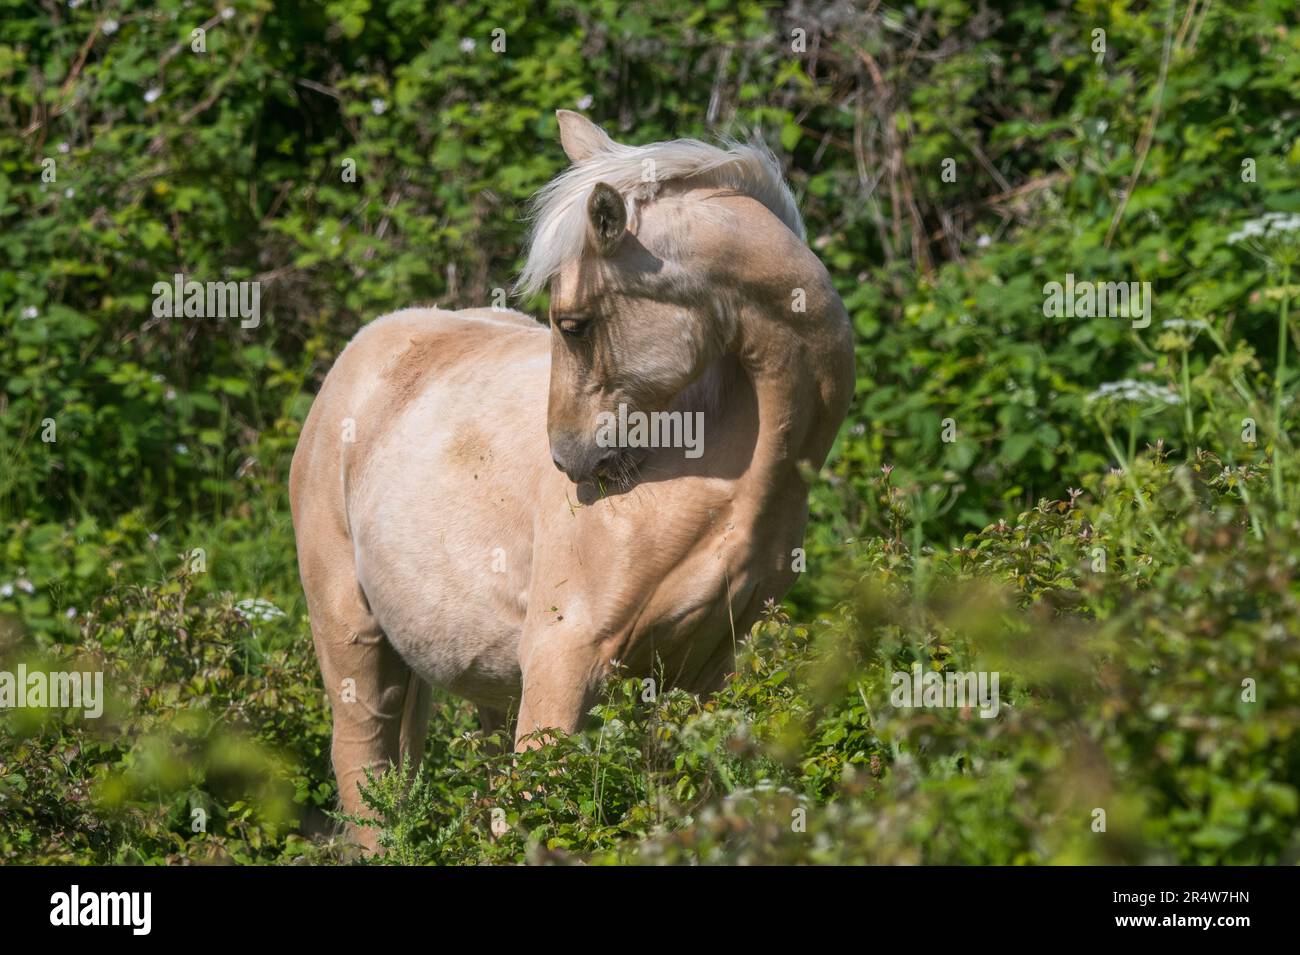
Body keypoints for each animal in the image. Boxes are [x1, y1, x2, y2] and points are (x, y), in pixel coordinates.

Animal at [289, 110, 855, 850]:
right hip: (352, 636)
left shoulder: (700, 676)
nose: (569, 462)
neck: (723, 480)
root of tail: (364, 354)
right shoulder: (565, 659)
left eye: (574, 324)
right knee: (363, 768)